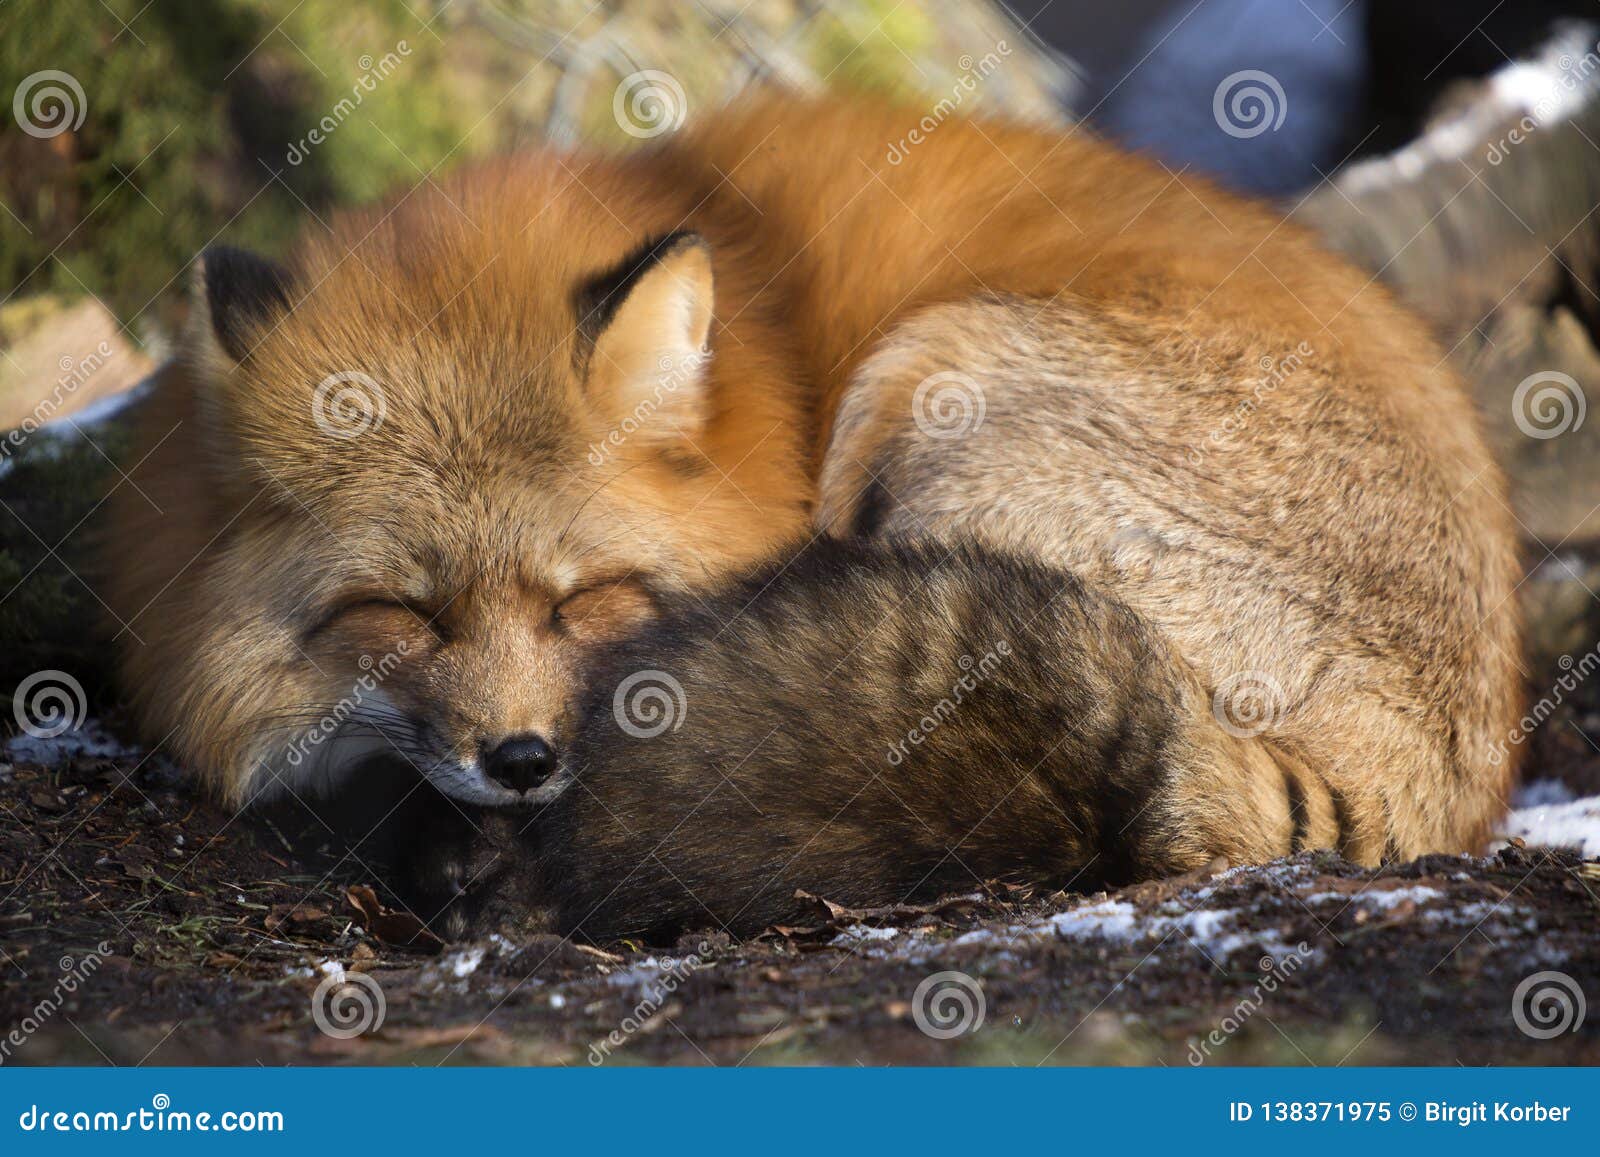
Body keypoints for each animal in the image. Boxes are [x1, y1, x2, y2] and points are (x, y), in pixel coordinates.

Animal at [104, 92, 1521, 933]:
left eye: (586, 598)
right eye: (402, 613)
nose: (520, 760)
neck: (770, 357)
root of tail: (1431, 784)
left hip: (935, 373)